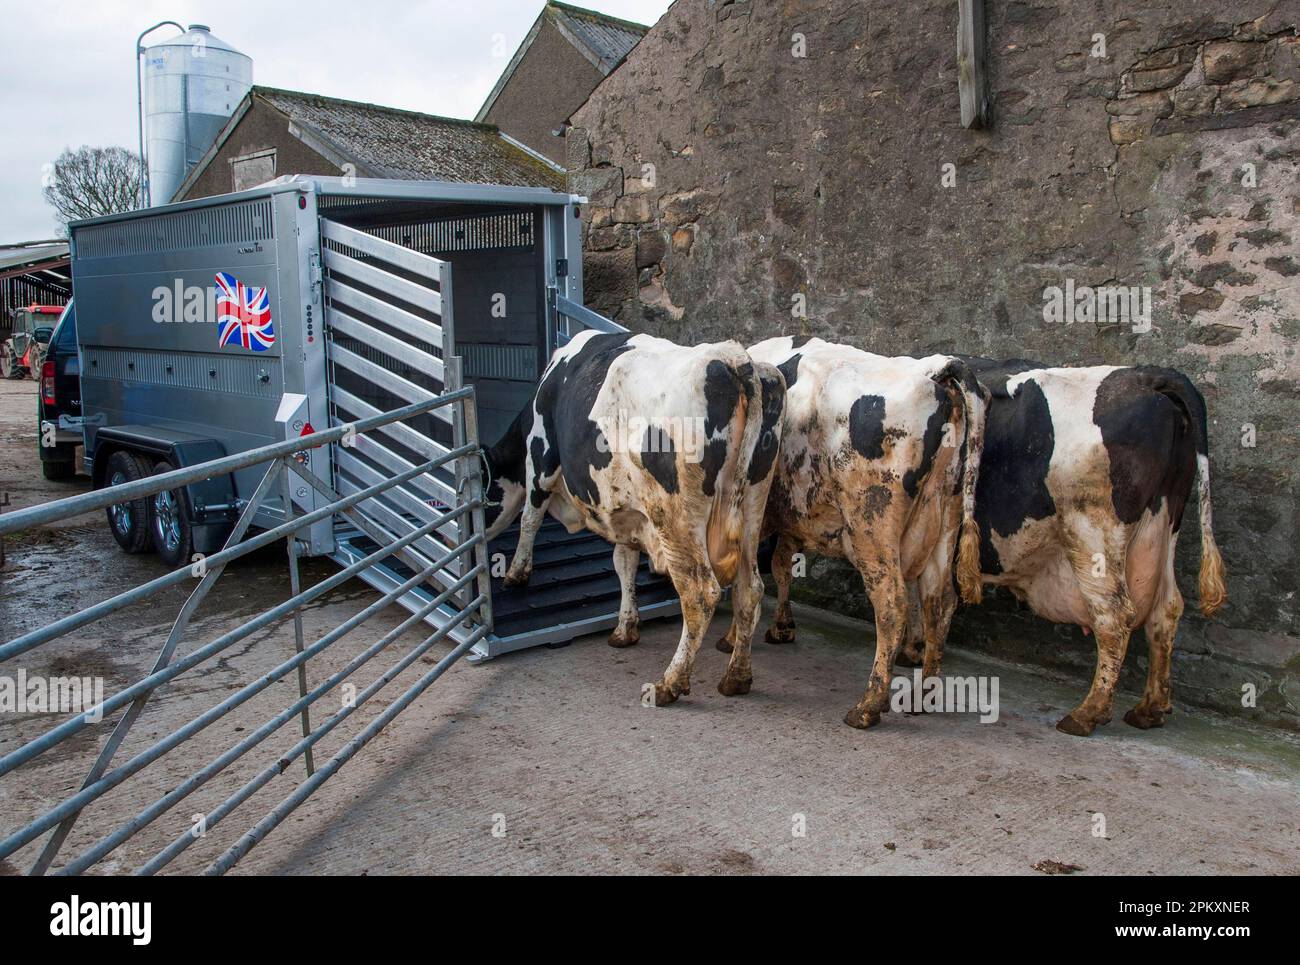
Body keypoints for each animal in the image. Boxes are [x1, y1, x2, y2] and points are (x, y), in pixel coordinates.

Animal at [482, 330, 786, 705]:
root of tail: (732, 359)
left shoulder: (541, 458)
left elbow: (529, 517)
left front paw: (516, 573)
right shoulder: (627, 510)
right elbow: (623, 561)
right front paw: (625, 627)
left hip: (676, 519)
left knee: (700, 593)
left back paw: (670, 683)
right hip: (753, 508)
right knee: (750, 589)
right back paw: (737, 678)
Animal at [717, 336, 988, 730]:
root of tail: (935, 372)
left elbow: (749, 578)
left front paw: (732, 638)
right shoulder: (791, 513)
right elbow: (782, 566)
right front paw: (782, 626)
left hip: (872, 526)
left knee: (892, 604)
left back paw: (868, 706)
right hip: (944, 519)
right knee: (940, 601)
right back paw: (924, 695)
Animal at [898, 359, 1227, 737]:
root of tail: (1147, 376)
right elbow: (914, 589)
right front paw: (912, 648)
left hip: (1092, 532)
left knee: (1114, 616)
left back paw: (1087, 713)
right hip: (1163, 527)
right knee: (1166, 610)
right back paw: (1150, 708)